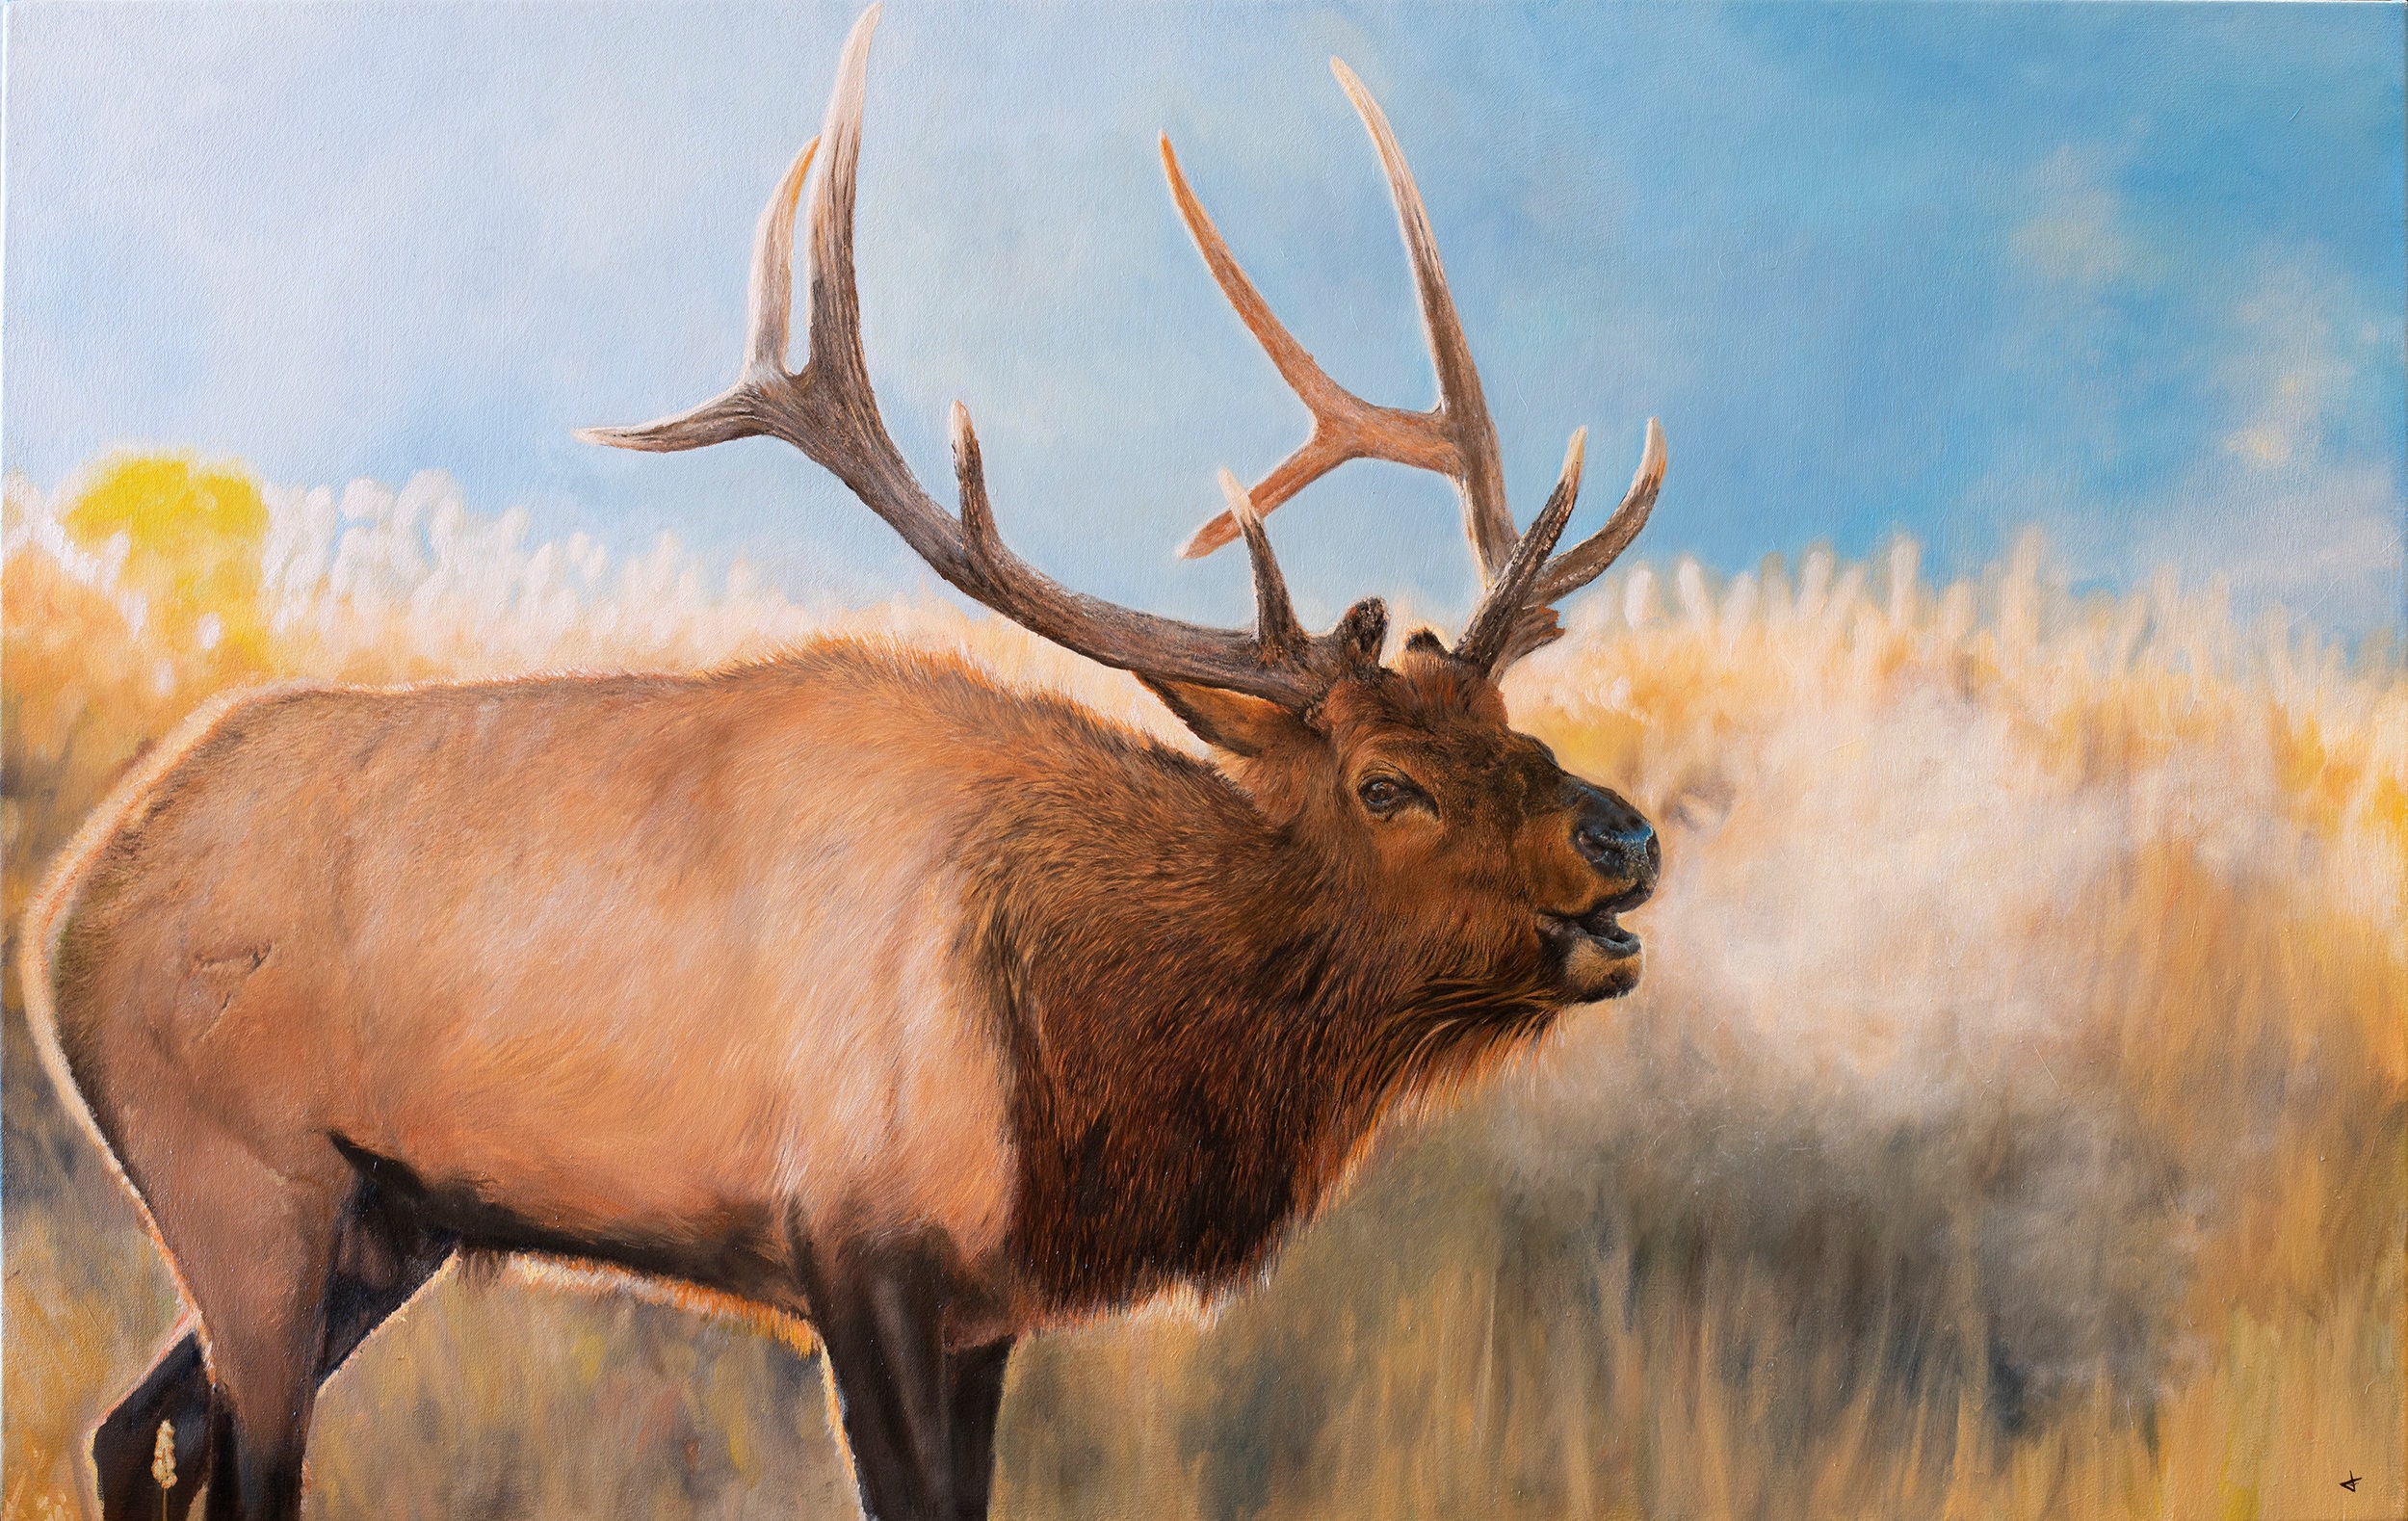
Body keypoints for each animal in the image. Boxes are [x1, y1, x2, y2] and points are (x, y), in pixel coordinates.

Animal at [22, 8, 1666, 1519]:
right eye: (1389, 782)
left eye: (1521, 736)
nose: (1627, 838)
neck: (1078, 1062)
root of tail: (67, 904)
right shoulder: (856, 1241)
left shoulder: (986, 1306)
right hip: (243, 1179)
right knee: (229, 1456)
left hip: (382, 1218)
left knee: (130, 1429)